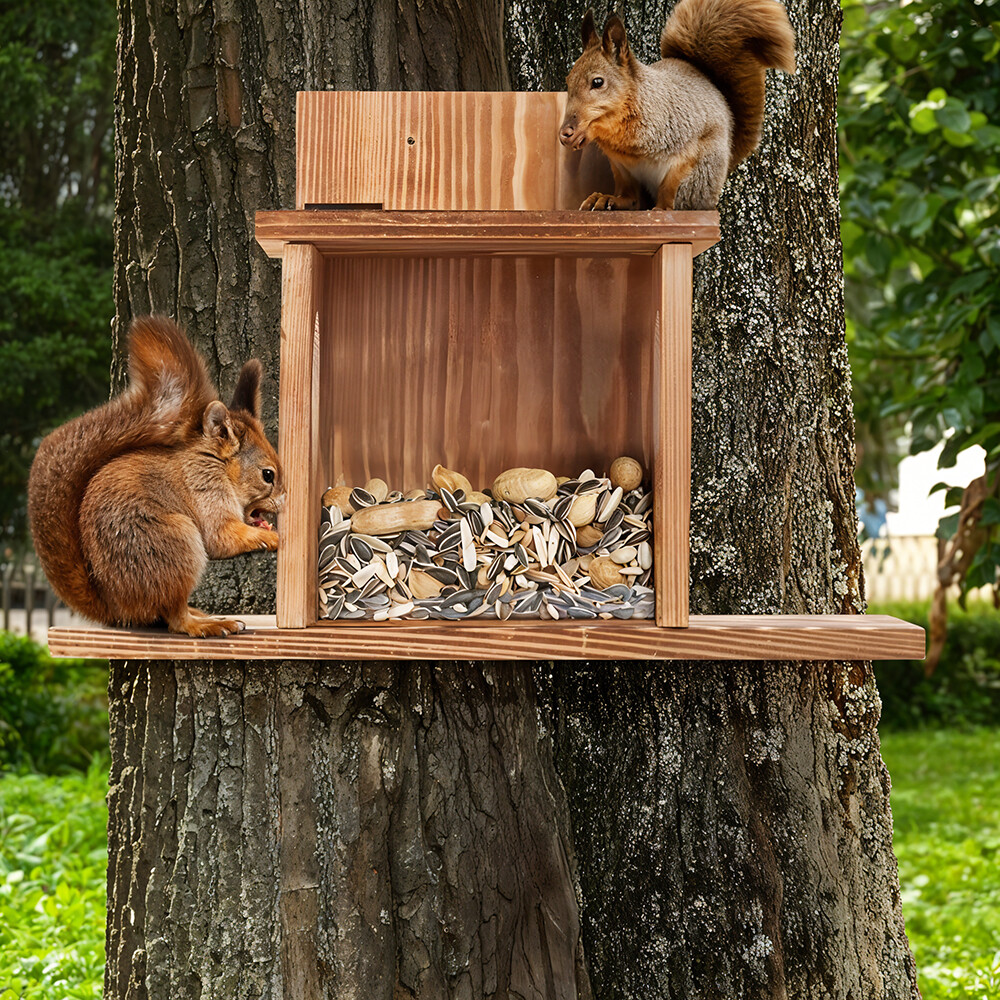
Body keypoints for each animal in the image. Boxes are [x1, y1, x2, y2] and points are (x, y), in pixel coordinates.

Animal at [27, 316, 283, 638]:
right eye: (267, 475)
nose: (285, 502)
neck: (216, 466)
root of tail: (114, 606)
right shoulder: (206, 490)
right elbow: (221, 536)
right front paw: (272, 537)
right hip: (170, 544)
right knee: (174, 616)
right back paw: (206, 623)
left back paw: (199, 612)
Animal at [559, 0, 796, 211]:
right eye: (568, 80)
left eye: (598, 82)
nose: (565, 133)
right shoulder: (618, 160)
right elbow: (630, 195)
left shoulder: (686, 145)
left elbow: (669, 186)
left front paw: (663, 208)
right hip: (624, 171)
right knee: (631, 197)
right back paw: (606, 199)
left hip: (703, 172)